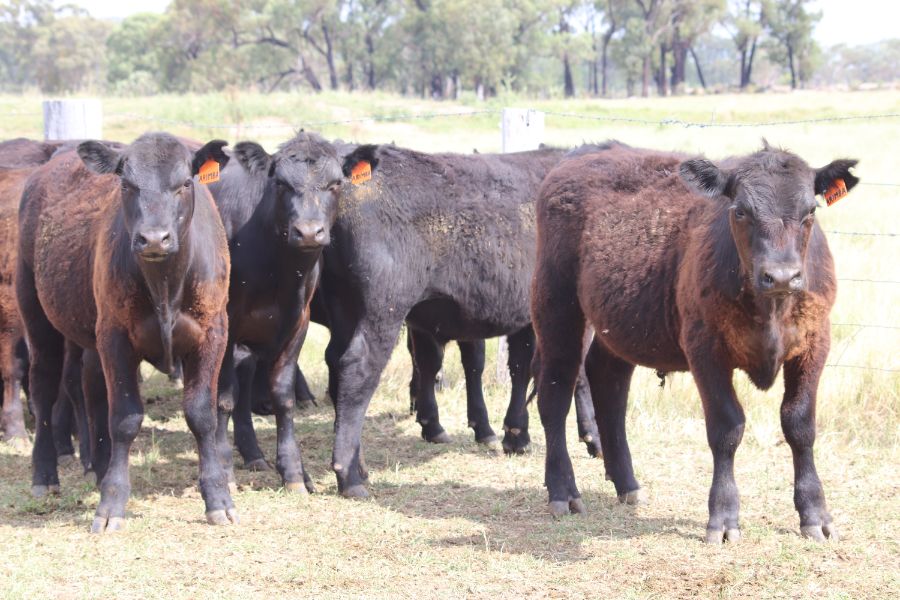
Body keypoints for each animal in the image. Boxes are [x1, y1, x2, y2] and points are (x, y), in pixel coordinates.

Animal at [17, 132, 236, 532]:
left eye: (185, 183)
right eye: (126, 184)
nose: (154, 239)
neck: (165, 284)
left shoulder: (212, 333)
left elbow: (202, 415)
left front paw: (218, 499)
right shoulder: (117, 338)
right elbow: (124, 418)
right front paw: (111, 504)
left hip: (90, 335)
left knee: (90, 389)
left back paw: (99, 467)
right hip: (37, 315)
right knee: (43, 390)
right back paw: (44, 475)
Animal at [320, 141, 605, 497]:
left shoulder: (527, 319)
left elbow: (520, 368)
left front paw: (516, 434)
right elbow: (576, 373)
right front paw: (593, 438)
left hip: (344, 310)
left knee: (337, 365)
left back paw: (360, 466)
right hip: (382, 311)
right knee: (358, 370)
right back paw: (348, 476)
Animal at [530, 141, 857, 543]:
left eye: (810, 210)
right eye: (740, 211)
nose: (781, 276)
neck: (771, 308)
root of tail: (581, 154)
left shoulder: (814, 345)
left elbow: (799, 425)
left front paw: (815, 514)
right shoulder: (705, 350)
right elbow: (727, 428)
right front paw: (724, 517)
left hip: (619, 325)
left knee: (609, 388)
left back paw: (627, 483)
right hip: (556, 308)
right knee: (555, 392)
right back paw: (563, 491)